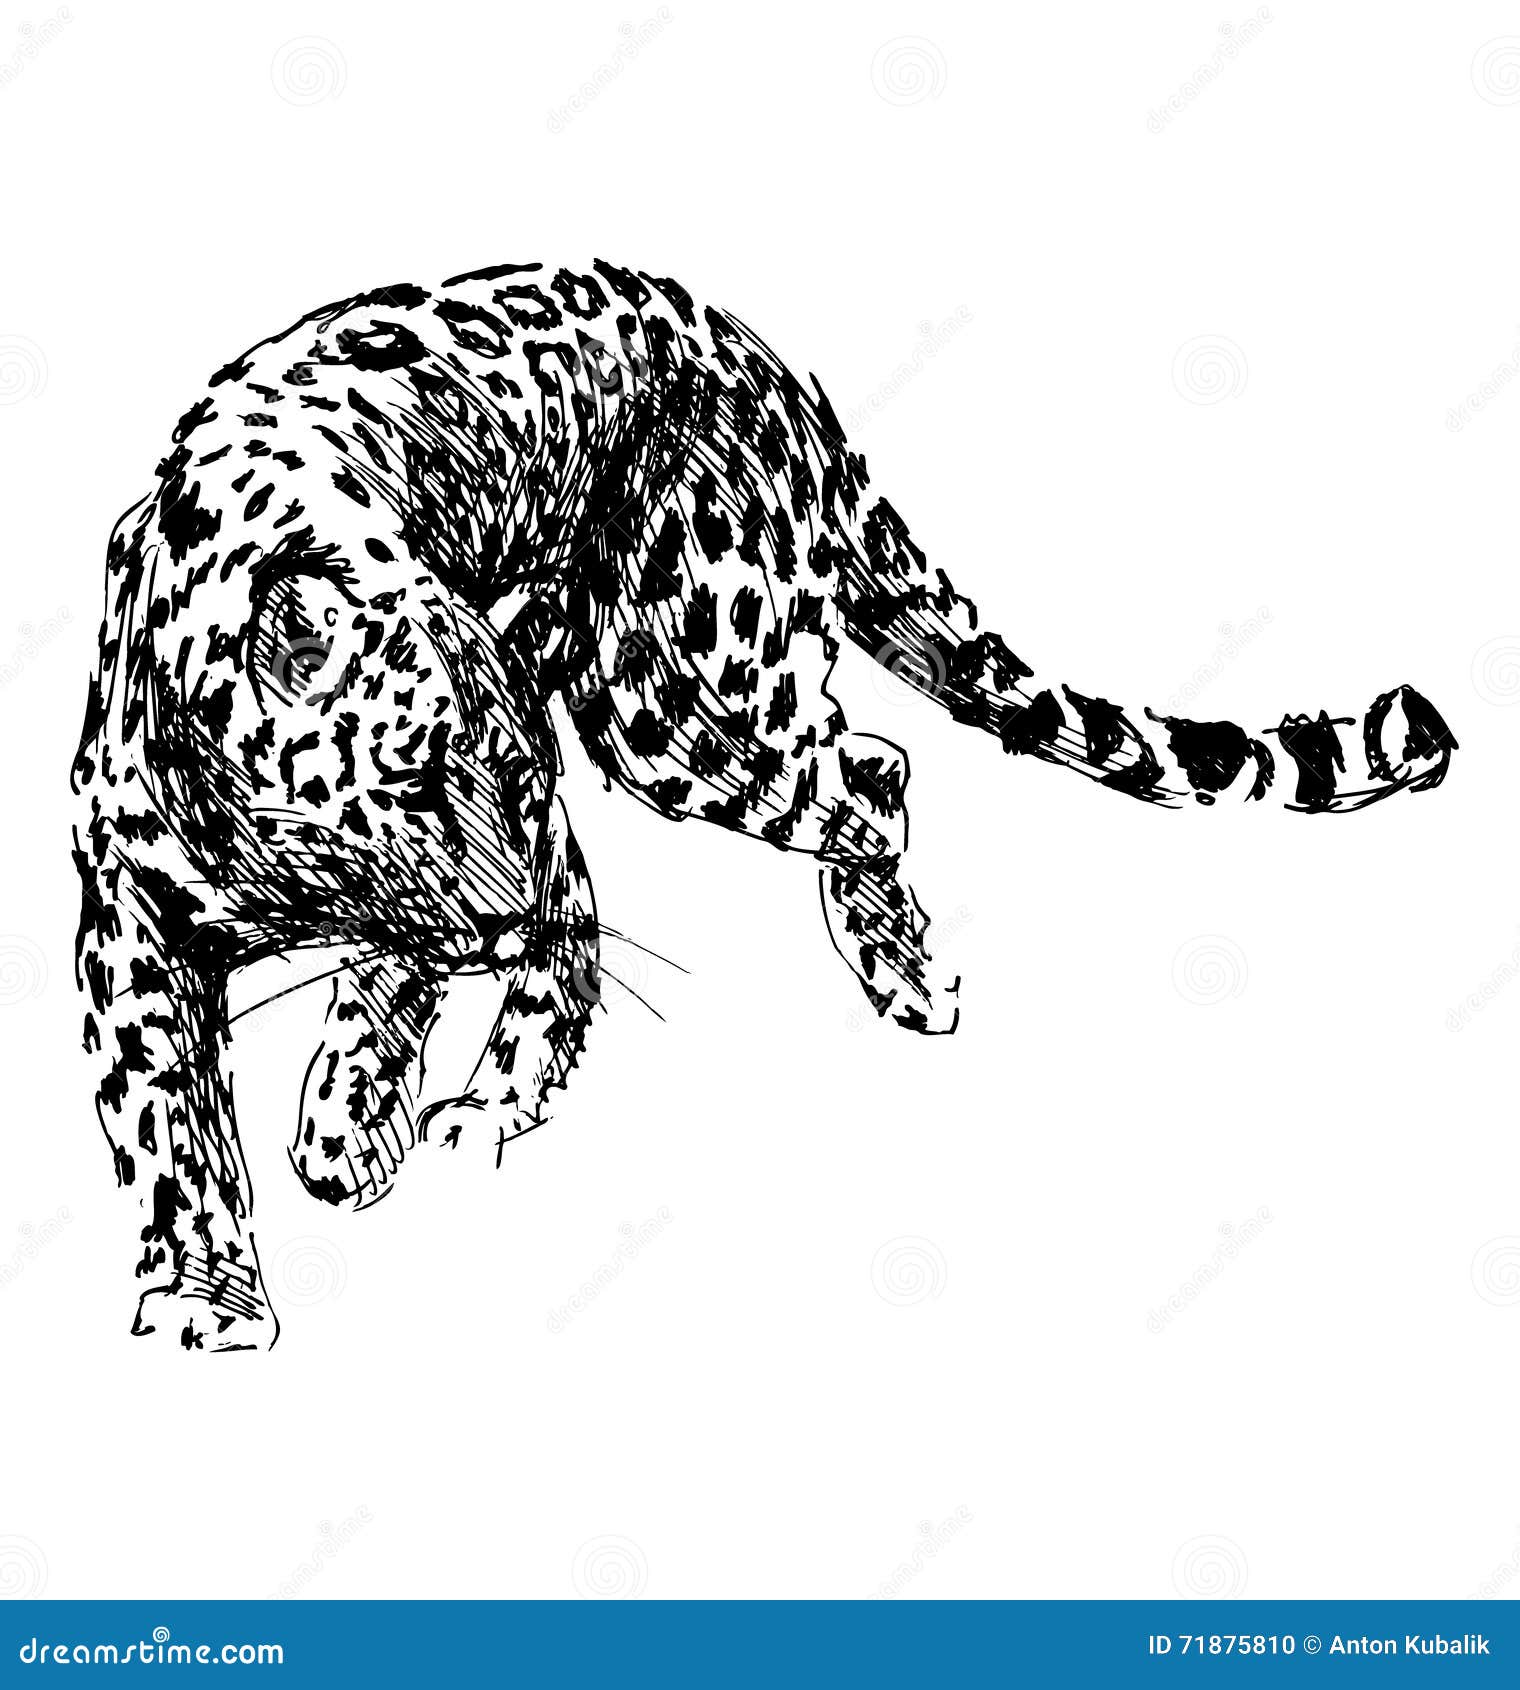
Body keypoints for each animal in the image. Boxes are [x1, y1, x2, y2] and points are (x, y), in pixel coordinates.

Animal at [70, 258, 1458, 1351]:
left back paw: (868, 982)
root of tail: (763, 362)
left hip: (674, 703)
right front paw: (214, 1285)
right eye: (408, 779)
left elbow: (380, 981)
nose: (500, 920)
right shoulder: (128, 919)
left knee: (855, 783)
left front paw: (341, 1139)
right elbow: (171, 1115)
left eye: (499, 779)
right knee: (651, 874)